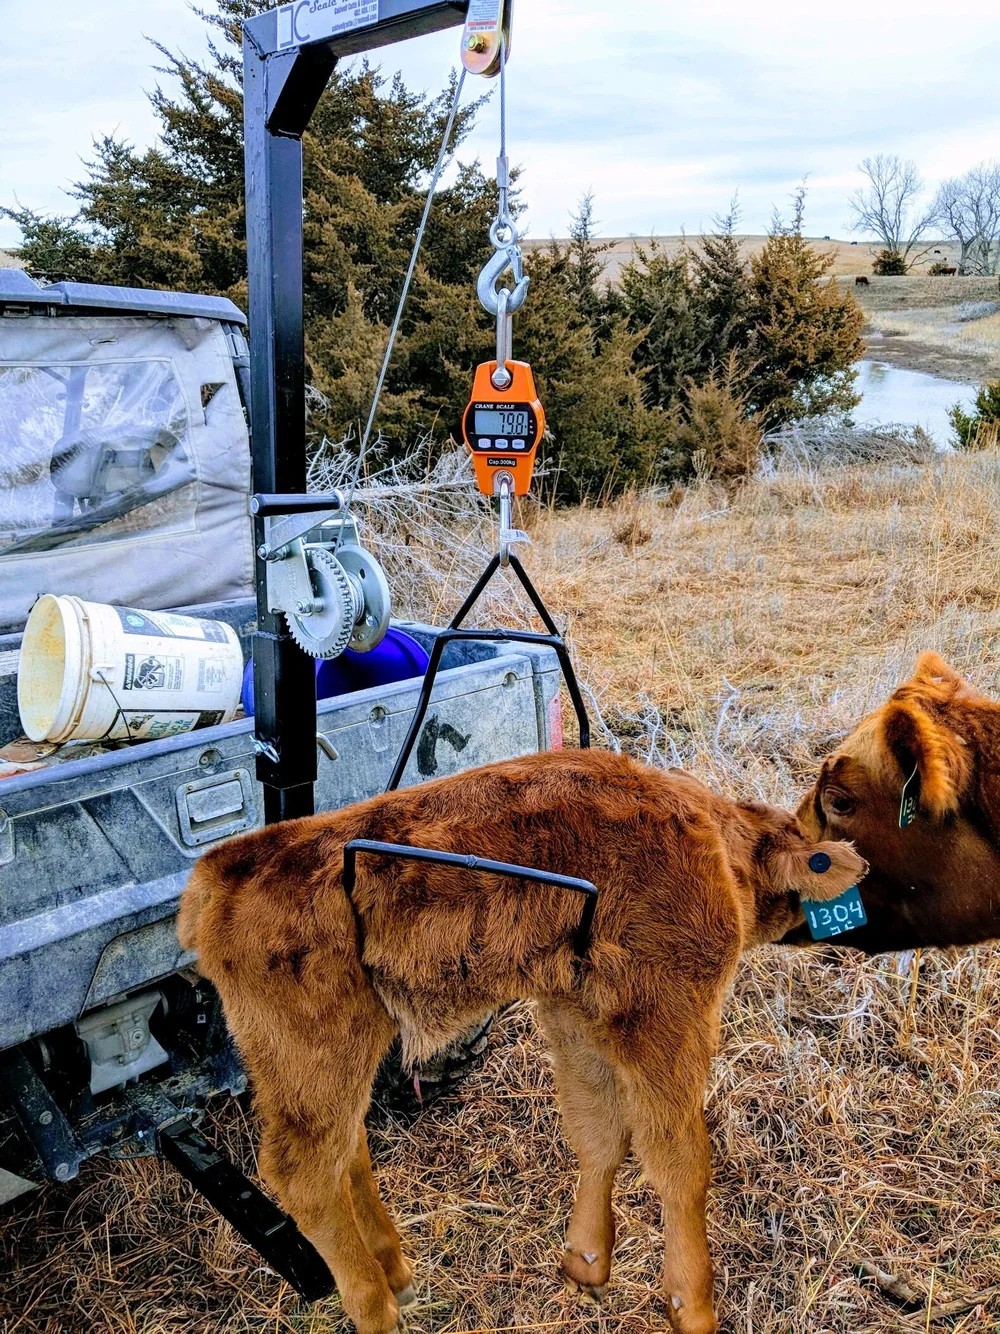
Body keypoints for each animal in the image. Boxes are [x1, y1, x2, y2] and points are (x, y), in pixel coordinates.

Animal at [179, 750, 866, 1334]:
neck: (719, 844)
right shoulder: (665, 1018)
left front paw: (587, 1267)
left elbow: (600, 1132)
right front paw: (692, 1308)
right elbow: (680, 1160)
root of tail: (215, 879)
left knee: (345, 1148)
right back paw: (378, 1310)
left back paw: (398, 1274)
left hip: (333, 1060)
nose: (829, 926)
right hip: (318, 1054)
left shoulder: (576, 1015)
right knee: (302, 1171)